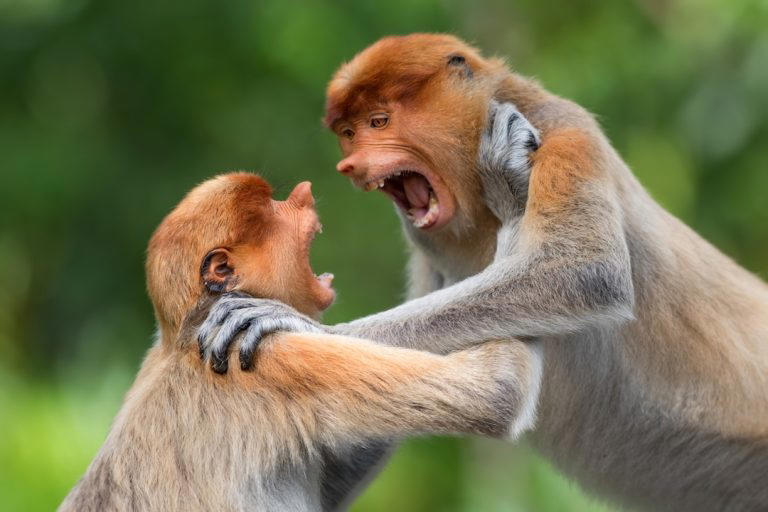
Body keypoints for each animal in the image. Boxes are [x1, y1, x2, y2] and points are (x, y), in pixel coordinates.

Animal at [58, 172, 540, 512]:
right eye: (272, 208)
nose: (304, 193)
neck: (186, 338)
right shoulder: (270, 360)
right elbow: (495, 391)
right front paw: (514, 190)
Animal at [197, 34, 768, 512]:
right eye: (347, 132)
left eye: (379, 122)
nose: (350, 165)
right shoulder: (430, 249)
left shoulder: (565, 138)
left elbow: (586, 272)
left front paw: (291, 323)